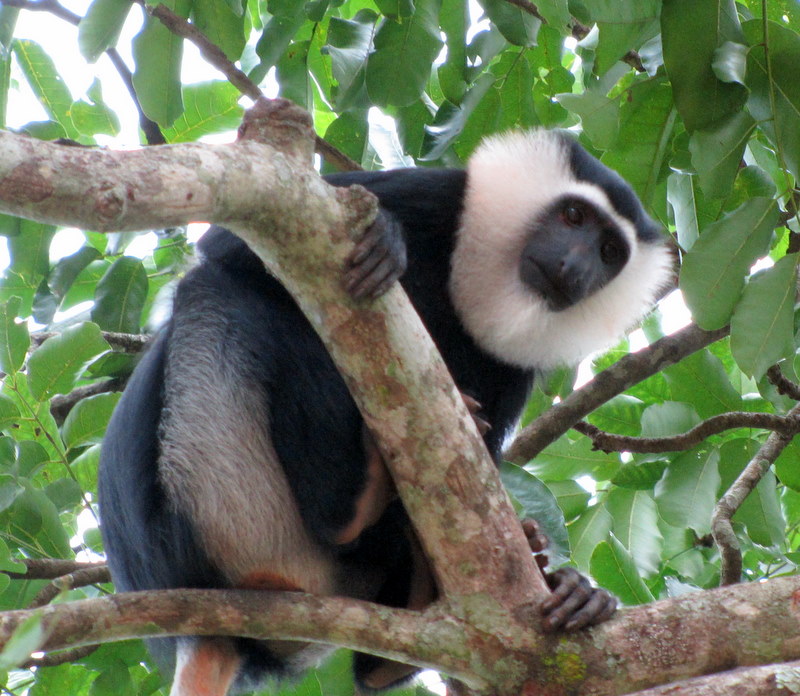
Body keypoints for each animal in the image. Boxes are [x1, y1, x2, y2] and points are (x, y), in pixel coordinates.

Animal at [98, 129, 673, 696]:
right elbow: (230, 245)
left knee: (372, 668)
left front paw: (568, 581)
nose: (574, 266)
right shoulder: (428, 195)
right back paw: (351, 503)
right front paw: (385, 240)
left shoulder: (513, 368)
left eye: (609, 251)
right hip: (220, 500)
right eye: (573, 216)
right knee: (226, 291)